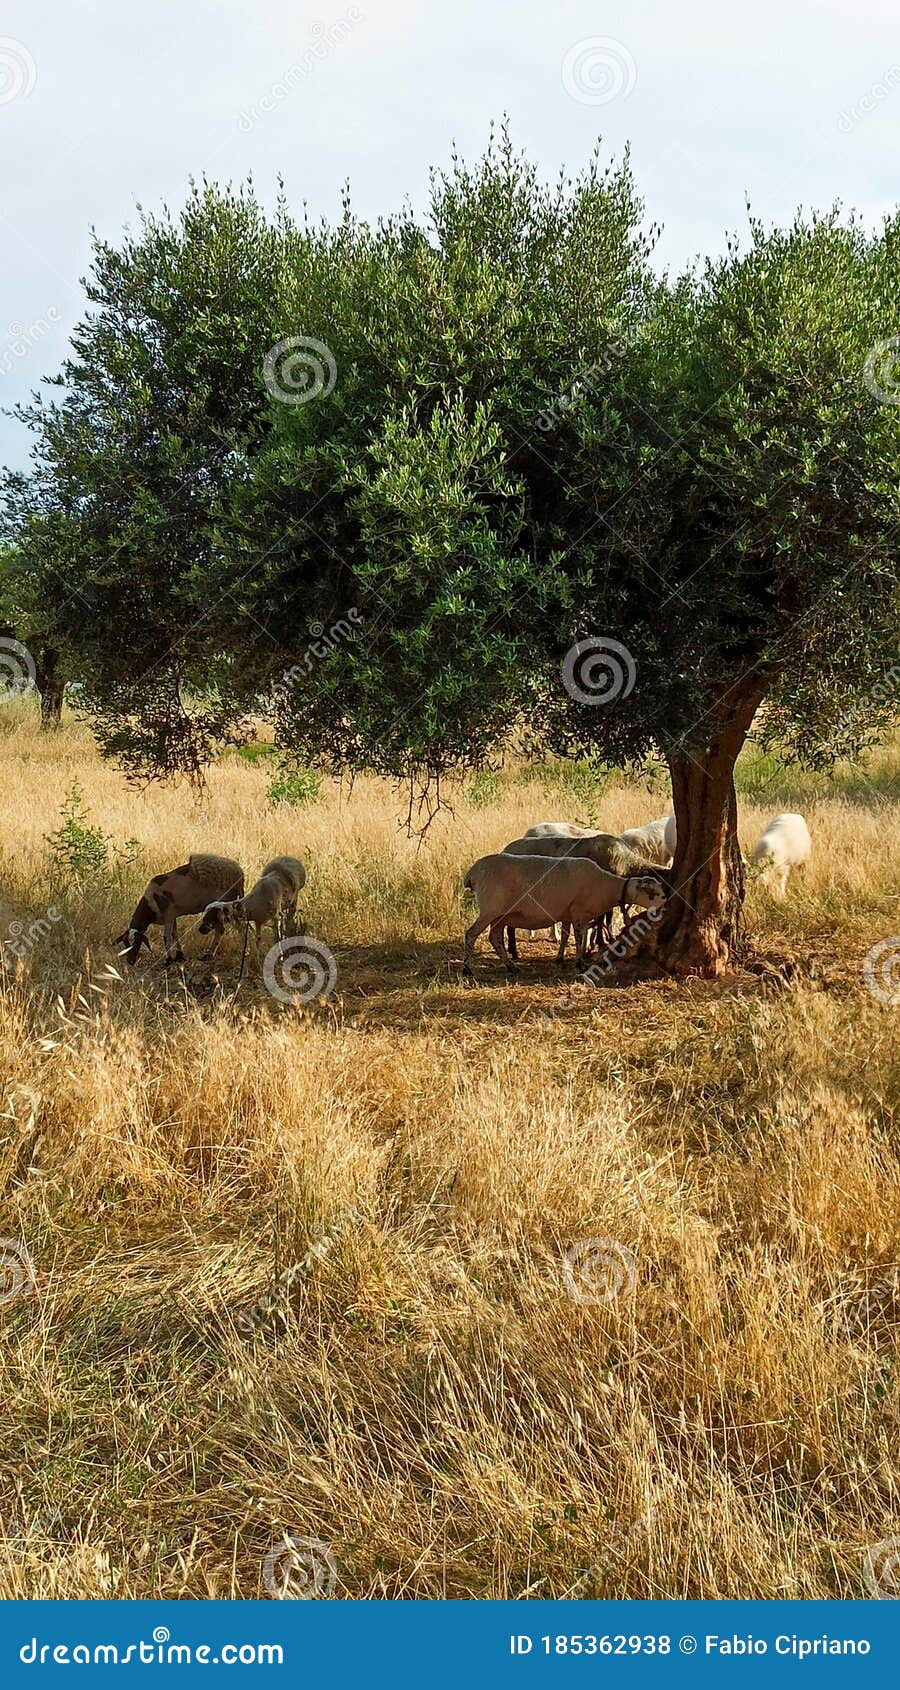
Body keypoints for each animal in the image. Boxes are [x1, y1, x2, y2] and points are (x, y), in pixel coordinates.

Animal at [115, 854, 245, 967]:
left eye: (137, 943)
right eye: (125, 943)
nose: (130, 962)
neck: (150, 905)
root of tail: (240, 876)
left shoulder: (168, 916)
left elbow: (166, 937)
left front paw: (168, 960)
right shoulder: (172, 917)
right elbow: (174, 934)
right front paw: (179, 956)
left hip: (224, 907)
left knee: (226, 929)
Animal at [461, 853, 667, 979]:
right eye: (653, 894)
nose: (665, 904)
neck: (608, 887)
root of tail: (472, 873)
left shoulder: (568, 914)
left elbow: (567, 937)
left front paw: (560, 959)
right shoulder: (578, 913)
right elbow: (579, 938)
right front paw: (580, 963)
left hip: (500, 915)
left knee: (494, 937)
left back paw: (511, 967)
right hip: (490, 910)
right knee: (471, 934)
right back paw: (466, 969)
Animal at [501, 832, 673, 959]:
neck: (627, 864)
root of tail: (506, 848)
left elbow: (604, 918)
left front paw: (602, 940)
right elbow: (603, 918)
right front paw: (602, 941)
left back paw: (512, 950)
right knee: (510, 925)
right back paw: (514, 952)